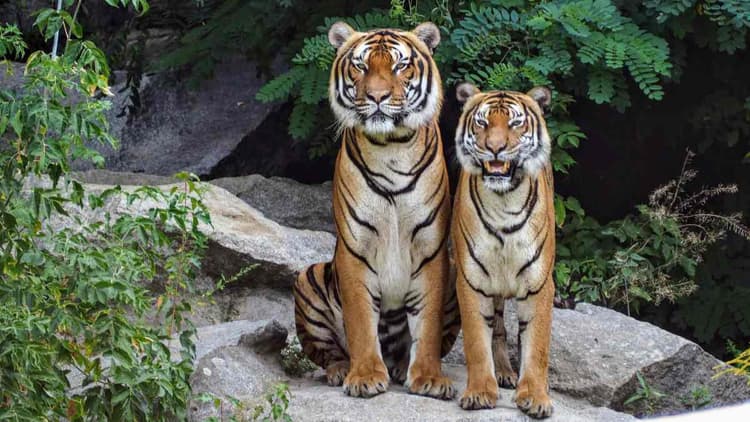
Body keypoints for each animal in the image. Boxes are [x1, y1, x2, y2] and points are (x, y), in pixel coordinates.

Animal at [292, 21, 460, 400]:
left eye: (400, 66)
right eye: (361, 66)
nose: (377, 97)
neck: (391, 147)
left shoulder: (431, 249)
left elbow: (427, 326)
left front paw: (429, 377)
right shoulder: (356, 248)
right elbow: (359, 321)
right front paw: (366, 376)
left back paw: (400, 367)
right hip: (309, 277)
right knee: (327, 352)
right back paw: (341, 370)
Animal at [451, 82, 556, 418]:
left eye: (515, 123)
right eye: (482, 123)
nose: (495, 148)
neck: (504, 202)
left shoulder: (539, 284)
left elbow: (537, 347)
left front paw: (535, 397)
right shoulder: (471, 281)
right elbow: (476, 341)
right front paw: (480, 392)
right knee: (497, 329)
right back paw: (504, 373)